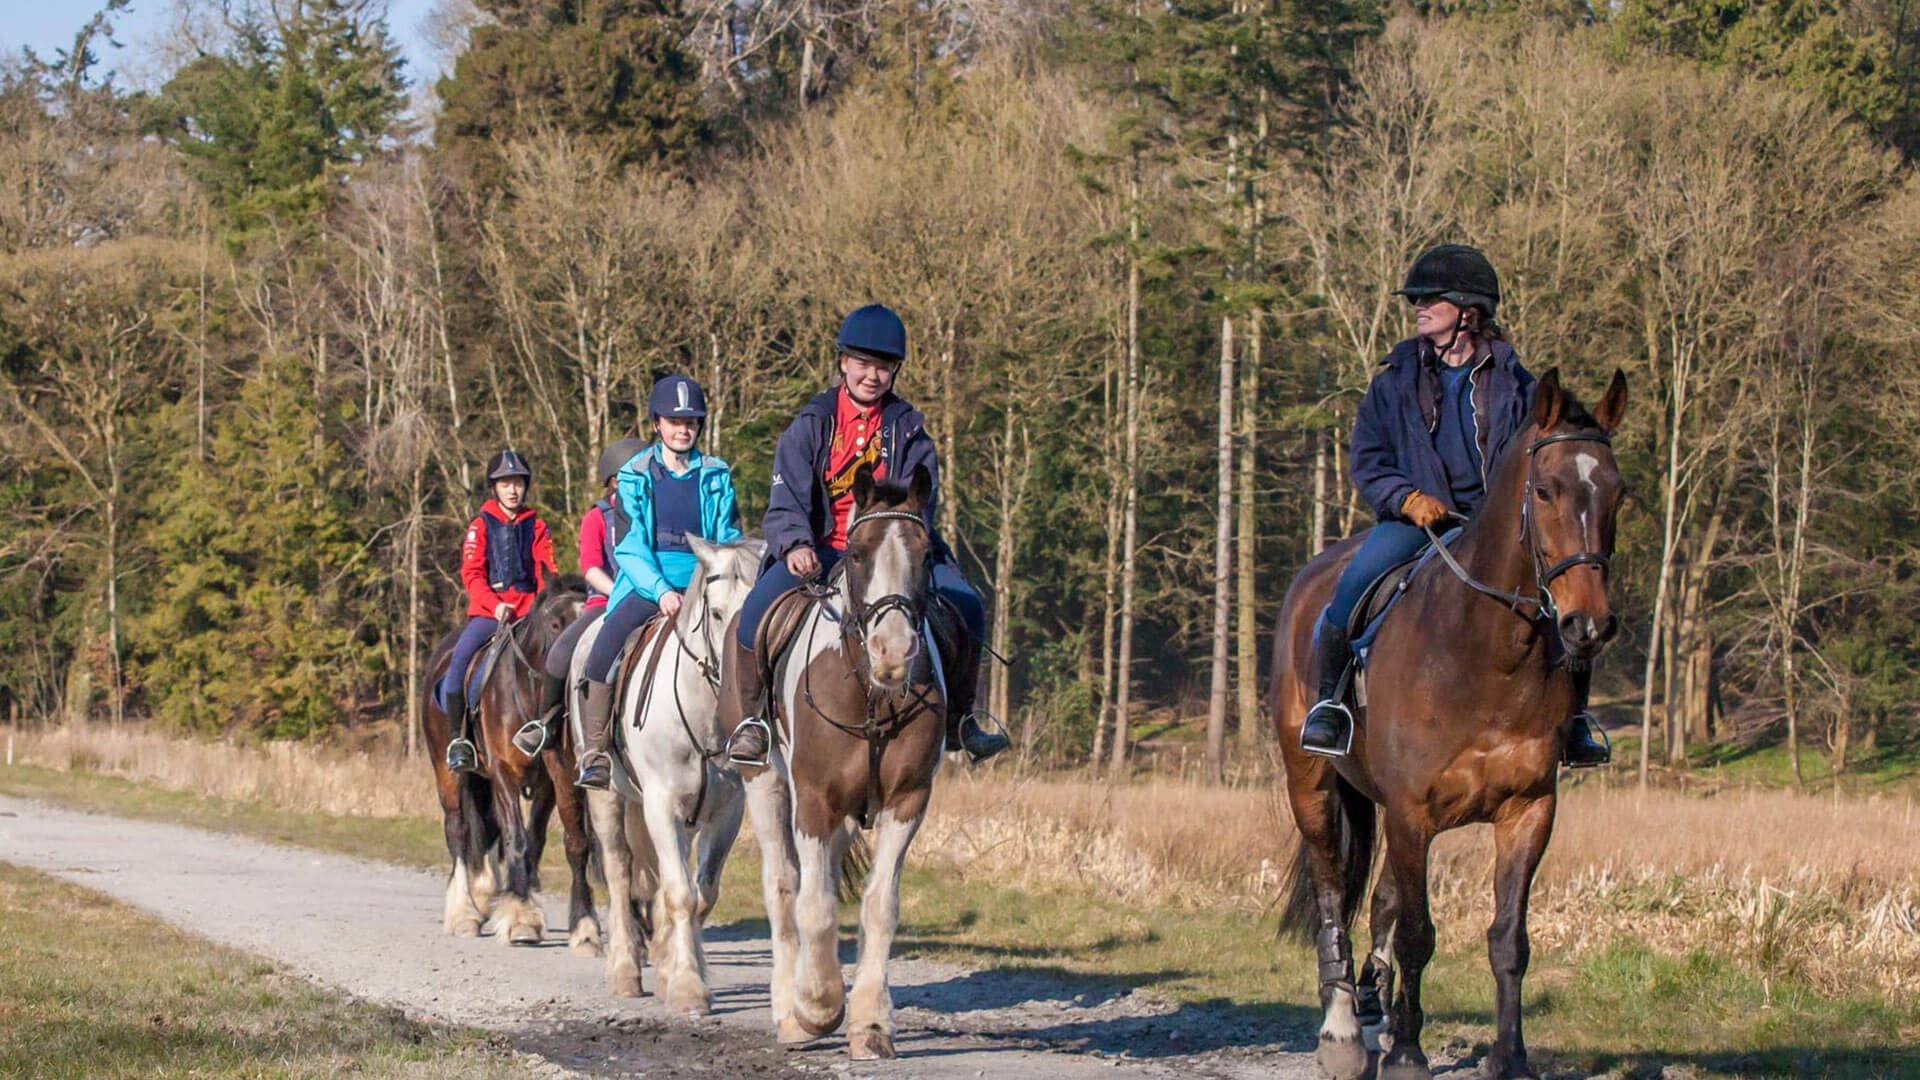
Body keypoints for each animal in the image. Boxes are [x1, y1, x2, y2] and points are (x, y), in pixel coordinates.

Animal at [422, 574, 602, 955]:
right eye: (555, 624)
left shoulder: (550, 781)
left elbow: (536, 841)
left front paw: (527, 908)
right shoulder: (504, 772)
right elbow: (515, 839)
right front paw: (521, 920)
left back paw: (484, 896)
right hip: (447, 771)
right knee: (457, 830)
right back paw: (464, 913)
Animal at [567, 536, 766, 1011]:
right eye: (716, 613)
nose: (739, 682)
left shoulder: (726, 812)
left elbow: (702, 894)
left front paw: (674, 970)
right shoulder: (661, 804)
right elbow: (679, 892)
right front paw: (689, 988)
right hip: (608, 797)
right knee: (619, 870)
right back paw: (624, 970)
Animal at [729, 464, 954, 1059]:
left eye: (927, 554)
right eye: (855, 552)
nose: (893, 653)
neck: (871, 694)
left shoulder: (906, 802)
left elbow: (879, 906)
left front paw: (870, 1022)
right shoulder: (814, 801)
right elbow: (814, 905)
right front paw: (817, 1006)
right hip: (766, 784)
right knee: (785, 885)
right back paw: (789, 1010)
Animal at [1271, 369, 1628, 1080]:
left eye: (1617, 492)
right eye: (1544, 489)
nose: (1588, 624)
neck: (1486, 654)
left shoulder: (1528, 811)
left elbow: (1508, 938)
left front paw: (1509, 1057)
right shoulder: (1413, 815)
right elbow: (1416, 932)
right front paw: (1408, 1053)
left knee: (1377, 898)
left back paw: (1373, 1011)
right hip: (1313, 787)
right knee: (1333, 892)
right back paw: (1344, 1032)